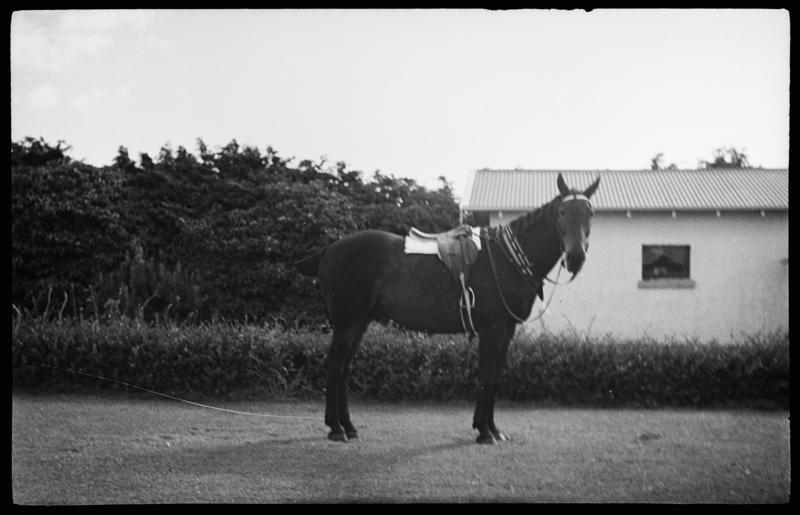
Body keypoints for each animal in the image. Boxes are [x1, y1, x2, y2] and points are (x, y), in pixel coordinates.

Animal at [295, 173, 600, 444]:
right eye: (562, 212)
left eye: (590, 213)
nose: (575, 257)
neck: (505, 259)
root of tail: (329, 250)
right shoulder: (492, 329)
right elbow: (486, 376)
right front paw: (485, 432)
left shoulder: (507, 331)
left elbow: (495, 377)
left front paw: (492, 428)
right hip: (347, 323)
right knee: (335, 367)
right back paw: (336, 429)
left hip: (360, 323)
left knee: (344, 369)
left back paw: (348, 426)